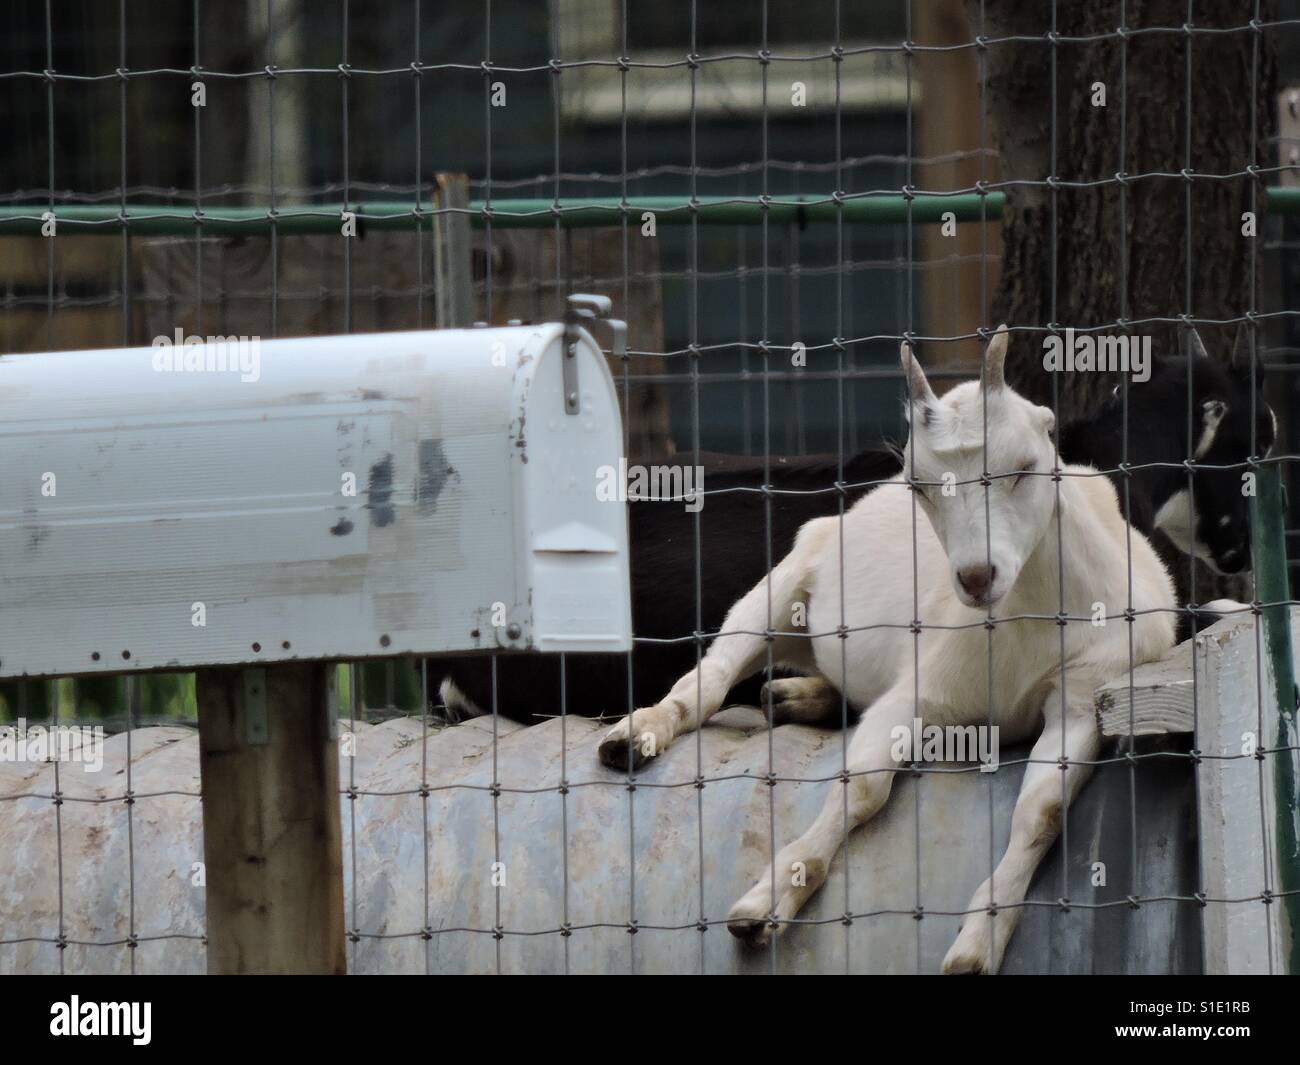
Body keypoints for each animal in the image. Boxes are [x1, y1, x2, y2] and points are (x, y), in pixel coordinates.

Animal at [595, 327, 1177, 973]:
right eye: (921, 483)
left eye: (1024, 466)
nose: (976, 577)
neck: (1031, 620)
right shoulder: (919, 692)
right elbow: (864, 786)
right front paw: (766, 903)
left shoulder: (1080, 699)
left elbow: (1042, 811)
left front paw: (978, 943)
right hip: (787, 581)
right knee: (710, 678)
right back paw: (637, 735)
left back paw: (793, 696)